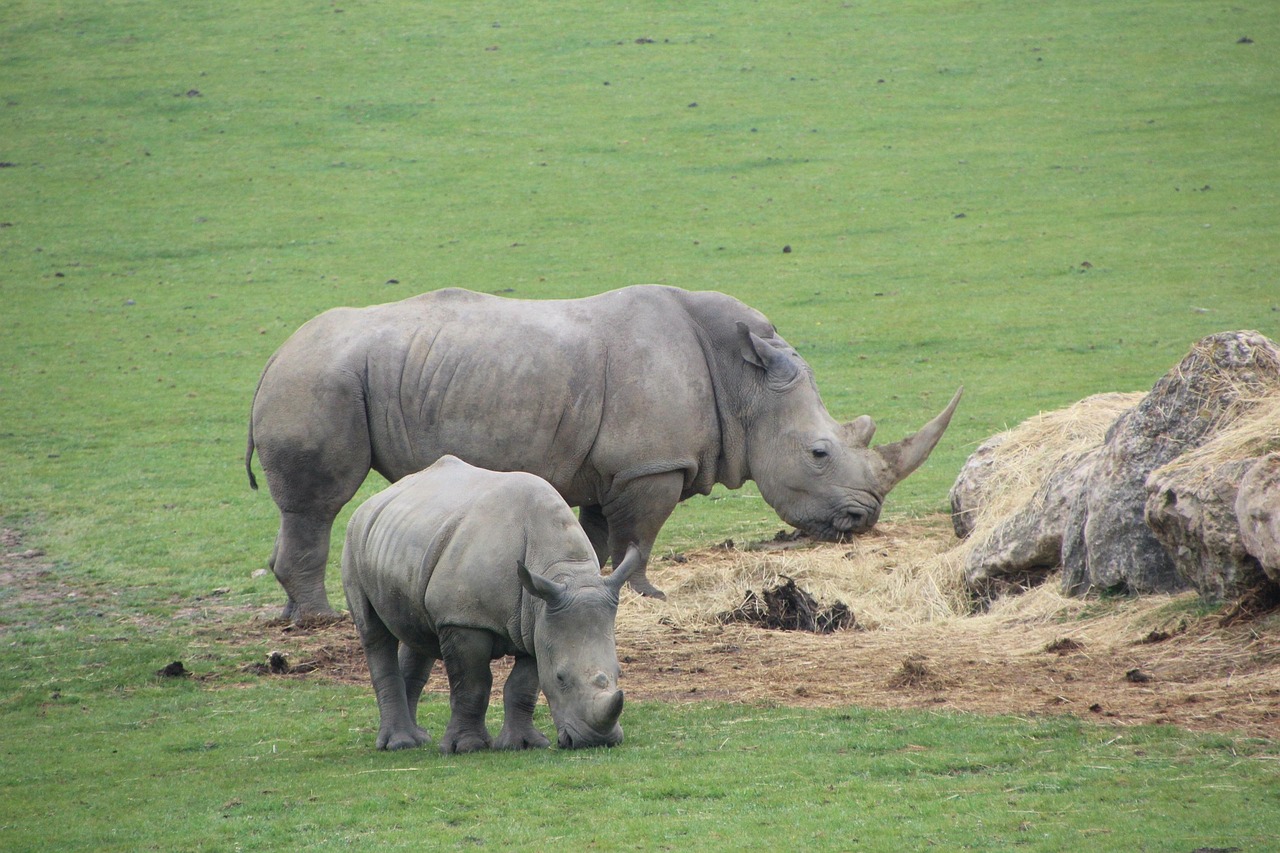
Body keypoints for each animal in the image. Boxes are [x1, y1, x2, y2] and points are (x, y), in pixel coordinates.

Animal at [247, 284, 961, 622]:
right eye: (818, 453)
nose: (862, 519)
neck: (746, 384)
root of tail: (272, 357)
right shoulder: (650, 464)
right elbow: (640, 534)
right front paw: (652, 596)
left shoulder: (607, 467)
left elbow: (595, 536)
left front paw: (596, 588)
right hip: (320, 380)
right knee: (318, 504)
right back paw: (320, 618)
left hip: (321, 375)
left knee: (302, 509)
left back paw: (293, 616)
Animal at [342, 455, 640, 752]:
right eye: (560, 678)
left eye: (619, 672)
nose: (596, 741)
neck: (562, 570)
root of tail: (380, 496)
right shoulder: (464, 619)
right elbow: (473, 684)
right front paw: (467, 747)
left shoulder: (538, 618)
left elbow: (522, 685)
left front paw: (523, 744)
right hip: (354, 535)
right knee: (374, 632)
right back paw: (399, 744)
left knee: (418, 632)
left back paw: (417, 740)